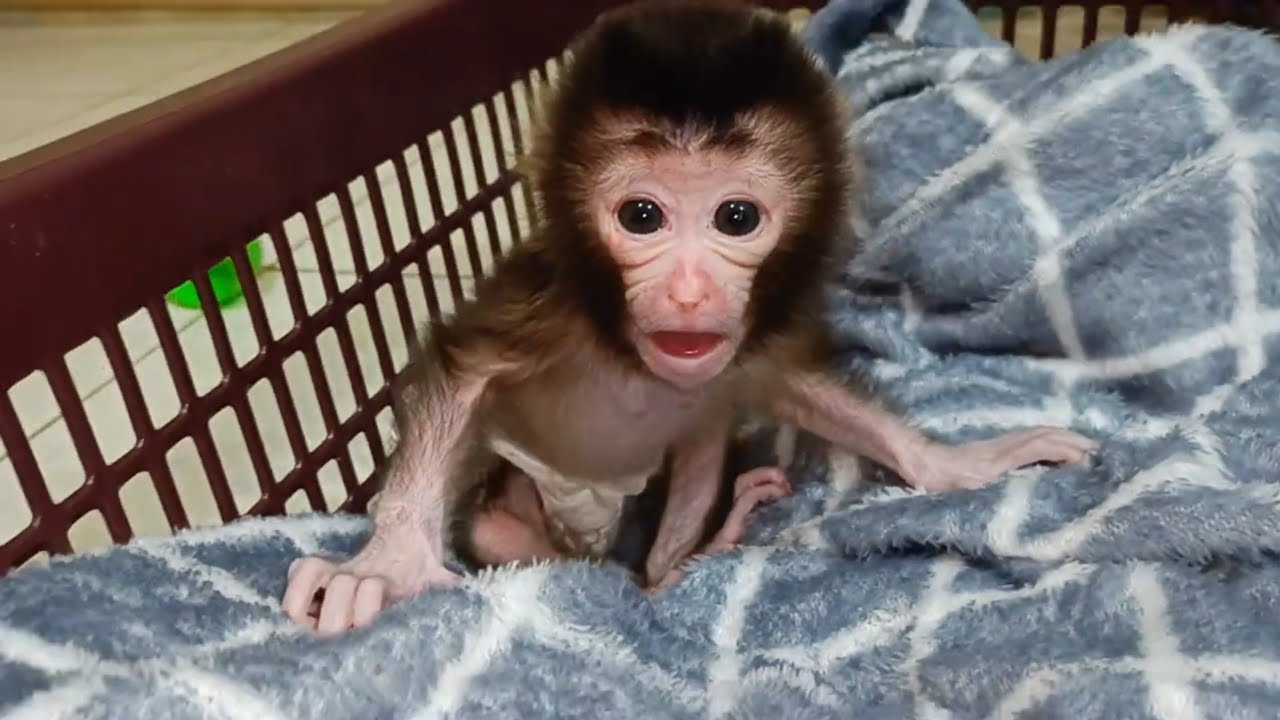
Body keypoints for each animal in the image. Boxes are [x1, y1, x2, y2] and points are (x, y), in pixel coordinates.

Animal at [281, 0, 1097, 636]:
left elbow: (797, 388)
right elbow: (465, 370)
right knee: (497, 526)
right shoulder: (549, 302)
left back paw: (681, 566)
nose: (687, 293)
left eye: (737, 217)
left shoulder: (754, 343)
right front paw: (389, 564)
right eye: (641, 216)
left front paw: (955, 465)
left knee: (699, 454)